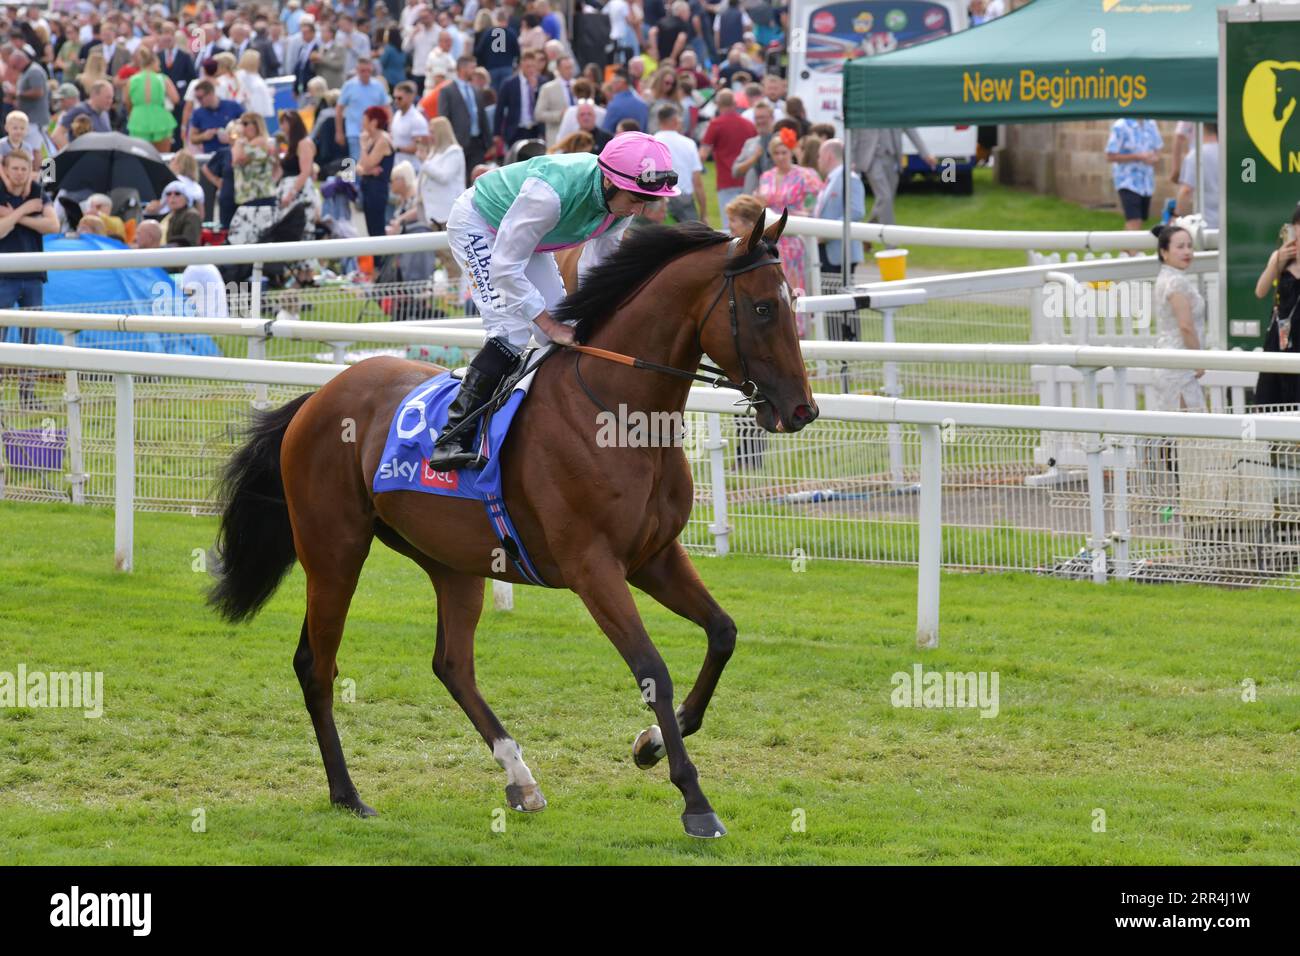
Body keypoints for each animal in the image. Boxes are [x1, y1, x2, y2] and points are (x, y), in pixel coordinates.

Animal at [206, 211, 819, 838]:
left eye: (792, 302)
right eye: (763, 308)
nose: (802, 410)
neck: (618, 416)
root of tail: (316, 398)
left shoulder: (654, 558)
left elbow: (723, 632)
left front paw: (649, 744)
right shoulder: (593, 568)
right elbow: (652, 668)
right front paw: (695, 802)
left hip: (451, 562)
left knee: (452, 665)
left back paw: (520, 778)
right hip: (334, 552)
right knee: (317, 666)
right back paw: (347, 794)